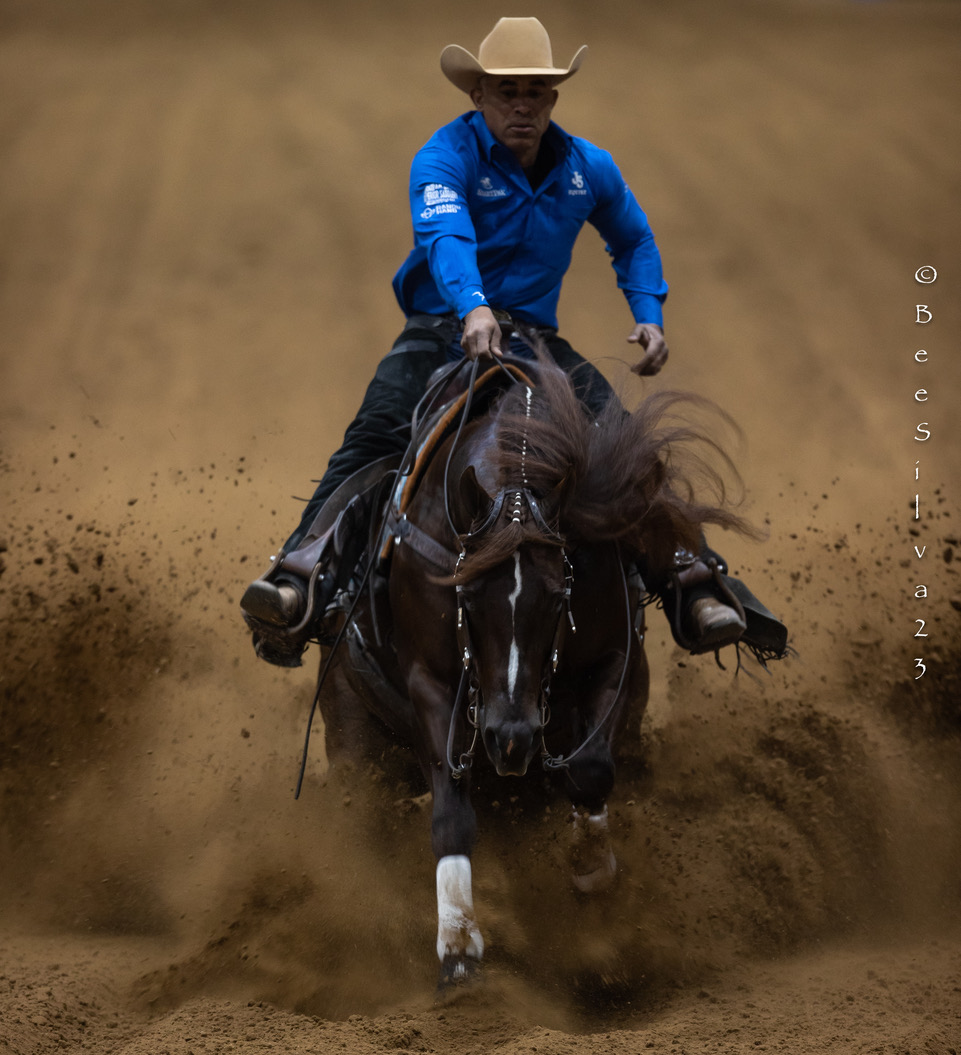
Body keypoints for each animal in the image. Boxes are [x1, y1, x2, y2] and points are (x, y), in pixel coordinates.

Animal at [312, 353, 749, 989]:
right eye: (466, 597)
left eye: (559, 596)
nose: (510, 737)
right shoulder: (430, 683)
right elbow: (451, 812)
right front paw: (459, 949)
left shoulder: (615, 662)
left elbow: (590, 772)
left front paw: (594, 885)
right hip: (353, 736)